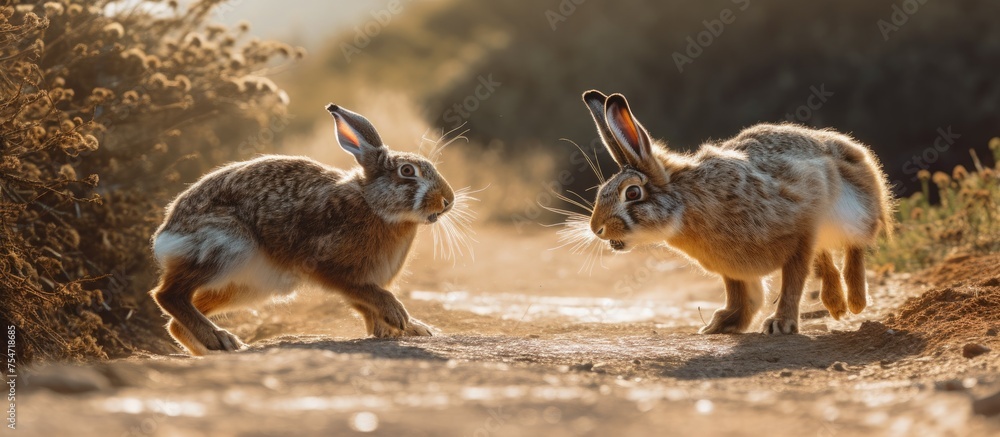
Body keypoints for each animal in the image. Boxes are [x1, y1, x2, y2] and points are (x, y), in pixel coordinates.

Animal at [149, 104, 455, 355]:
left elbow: (365, 305)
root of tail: (165, 234)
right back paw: (220, 338)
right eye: (407, 171)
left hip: (245, 285)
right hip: (227, 246)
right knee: (167, 295)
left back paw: (210, 348)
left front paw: (408, 328)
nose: (448, 200)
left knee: (177, 320)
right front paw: (398, 317)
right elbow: (369, 295)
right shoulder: (334, 270)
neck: (373, 204)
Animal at [580, 90, 893, 335]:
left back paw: (855, 302)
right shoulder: (733, 269)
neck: (689, 202)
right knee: (826, 256)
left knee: (854, 247)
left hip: (855, 212)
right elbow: (742, 295)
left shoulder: (801, 226)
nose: (597, 228)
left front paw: (780, 324)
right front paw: (720, 325)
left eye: (632, 193)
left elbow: (793, 281)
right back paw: (836, 304)